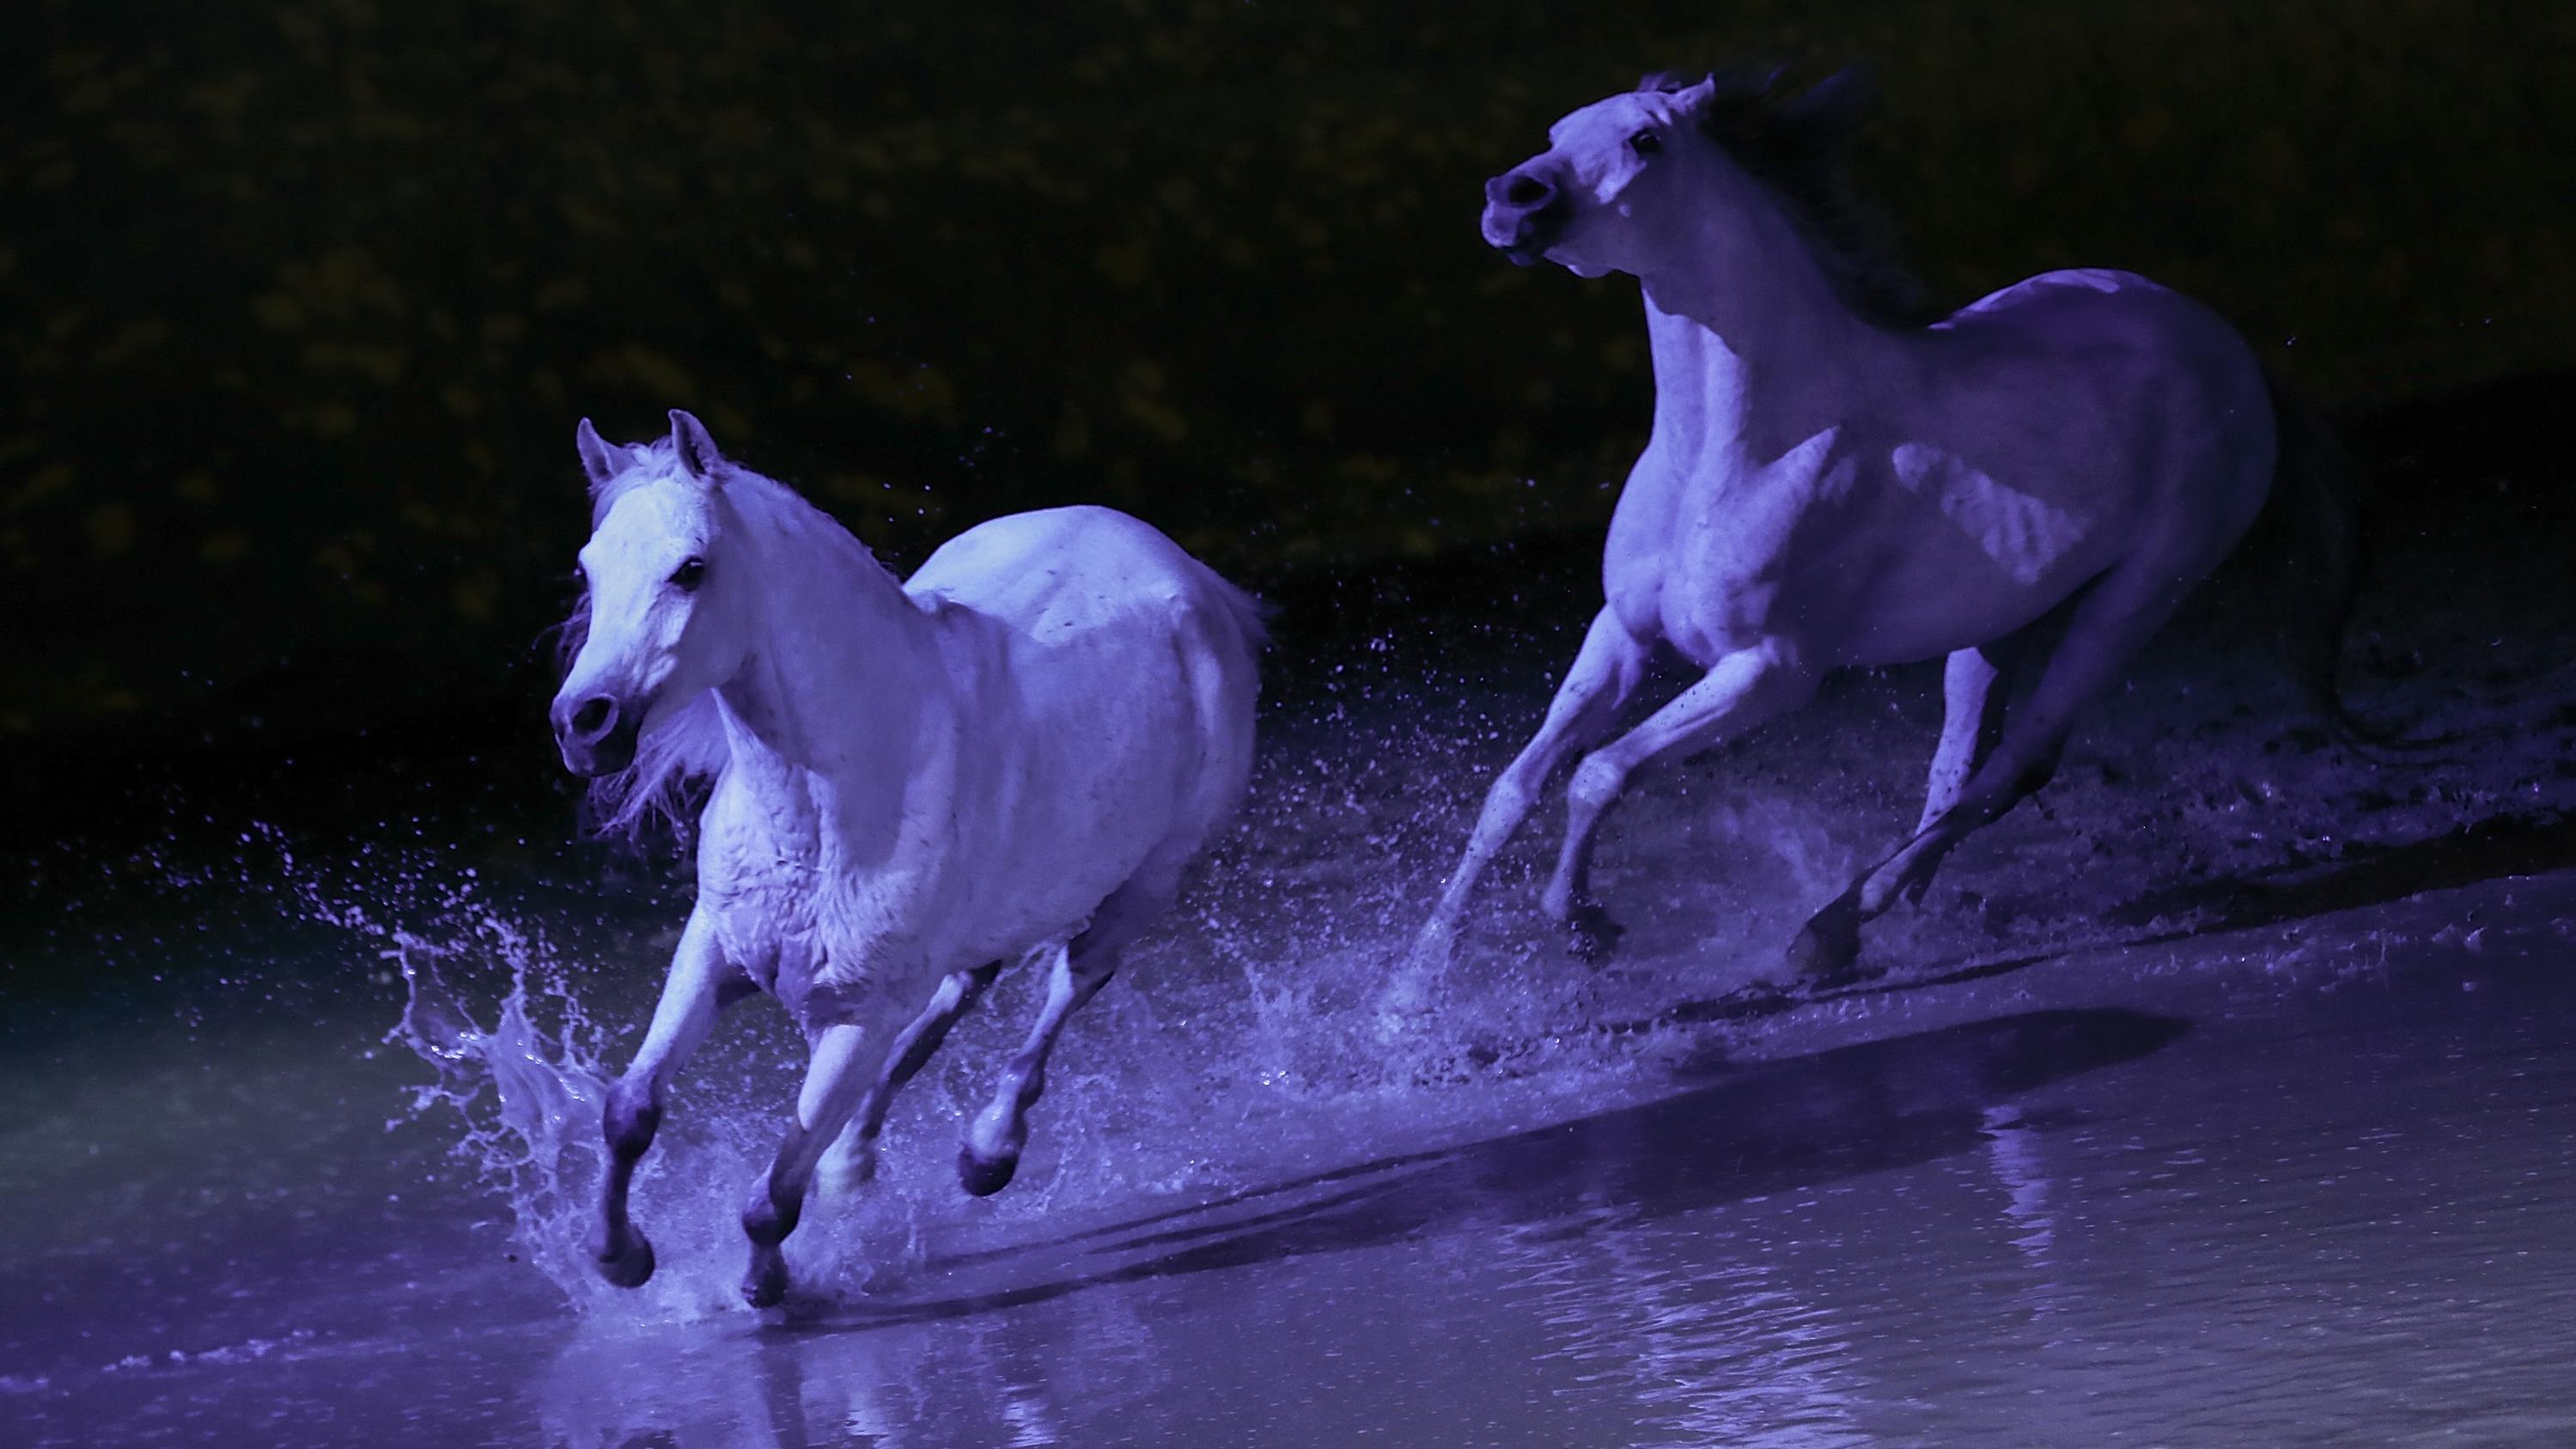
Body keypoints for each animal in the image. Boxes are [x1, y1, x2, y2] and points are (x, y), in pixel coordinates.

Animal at [551, 410, 1264, 1307]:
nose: (585, 723)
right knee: (958, 997)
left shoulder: (858, 1015)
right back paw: (857, 1165)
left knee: (1066, 989)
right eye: (589, 565)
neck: (828, 803)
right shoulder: (715, 949)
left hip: (1142, 888)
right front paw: (620, 1257)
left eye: (690, 569)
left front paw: (765, 1286)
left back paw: (986, 1153)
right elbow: (630, 1111)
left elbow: (772, 1195)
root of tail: (1194, 578)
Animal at [1411, 68, 2364, 983]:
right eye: (1554, 131)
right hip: (1998, 619)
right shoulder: (1623, 634)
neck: (1743, 449)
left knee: (2014, 765)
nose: (1511, 200)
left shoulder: (1769, 672)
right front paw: (1409, 995)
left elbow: (1600, 771)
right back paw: (1879, 912)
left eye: (1645, 141)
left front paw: (1581, 924)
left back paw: (1823, 933)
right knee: (1958, 769)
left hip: (2142, 590)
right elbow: (1516, 786)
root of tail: (2231, 352)